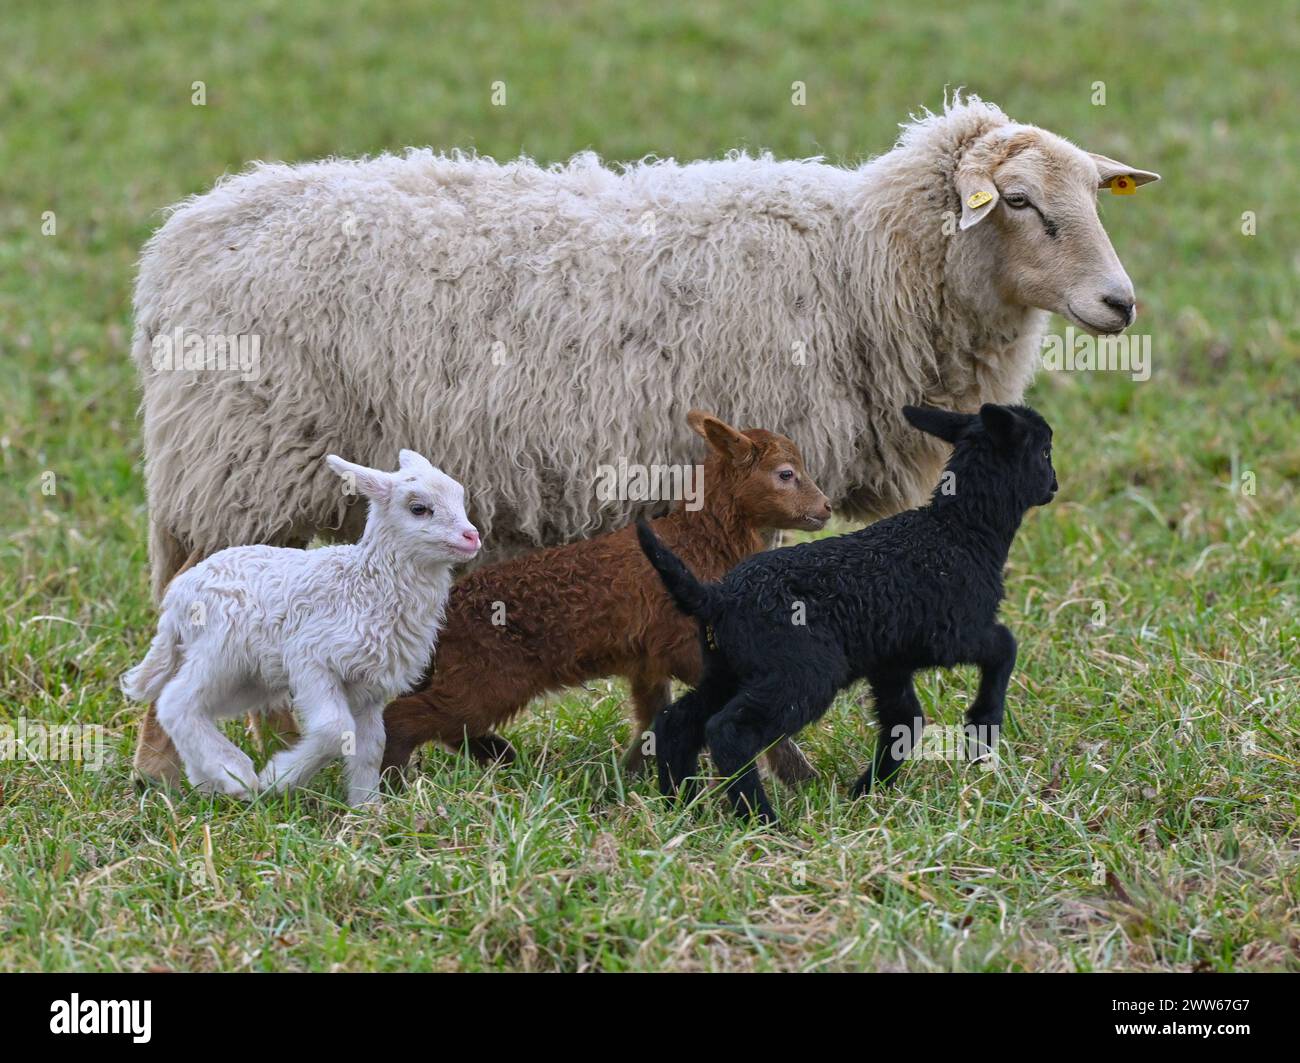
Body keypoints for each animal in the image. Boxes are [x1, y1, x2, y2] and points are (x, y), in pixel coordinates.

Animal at [121, 451, 480, 804]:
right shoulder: (311, 658)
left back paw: (212, 782)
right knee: (176, 702)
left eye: (460, 497)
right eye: (419, 509)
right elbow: (335, 730)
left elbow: (370, 747)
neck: (367, 584)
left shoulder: (369, 687)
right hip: (221, 652)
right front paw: (279, 778)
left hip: (249, 677)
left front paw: (366, 808)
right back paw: (236, 774)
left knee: (196, 708)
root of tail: (178, 598)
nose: (472, 537)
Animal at [380, 410, 832, 781]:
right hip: (487, 678)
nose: (825, 508)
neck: (701, 540)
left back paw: (501, 757)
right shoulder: (685, 646)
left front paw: (626, 780)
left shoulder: (649, 660)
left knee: (441, 721)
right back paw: (392, 786)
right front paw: (801, 777)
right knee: (403, 717)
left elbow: (651, 718)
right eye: (786, 474)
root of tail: (447, 609)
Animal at [637, 402, 1057, 824]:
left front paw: (868, 791)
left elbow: (905, 720)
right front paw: (983, 726)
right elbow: (1006, 645)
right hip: (802, 672)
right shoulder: (953, 633)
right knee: (729, 731)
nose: (1053, 486)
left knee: (677, 721)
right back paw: (762, 819)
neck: (961, 531)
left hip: (730, 669)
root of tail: (717, 596)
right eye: (1045, 452)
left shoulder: (891, 661)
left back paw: (678, 805)